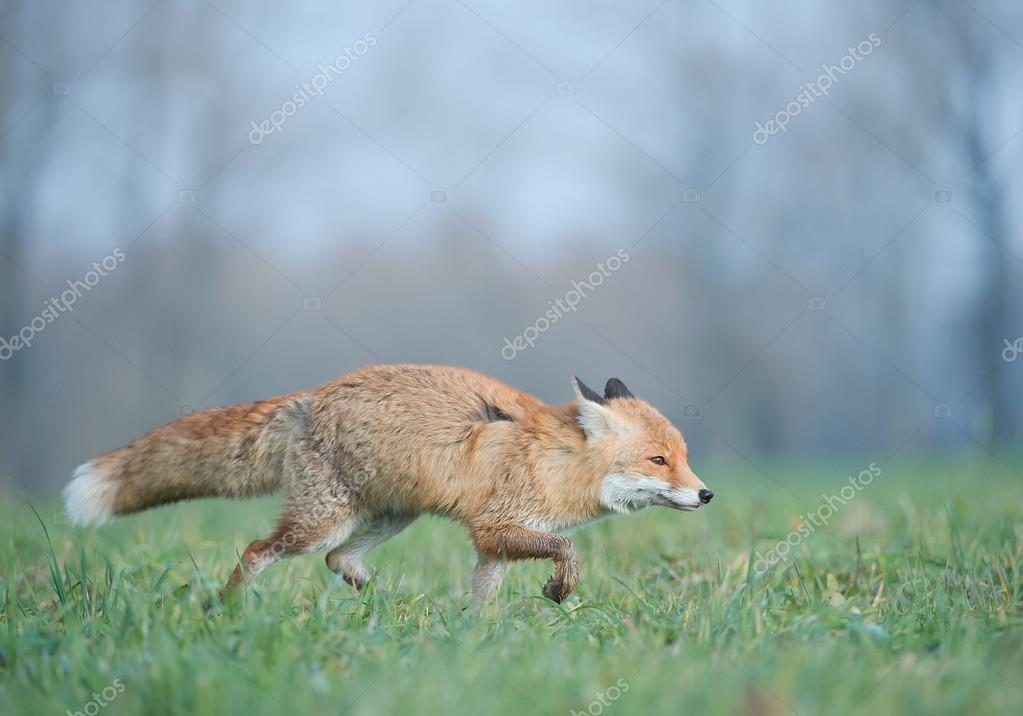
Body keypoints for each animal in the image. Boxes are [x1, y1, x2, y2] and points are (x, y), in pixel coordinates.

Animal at [64, 364, 713, 609]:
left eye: (683, 459)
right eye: (659, 460)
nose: (707, 496)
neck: (554, 461)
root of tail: (315, 393)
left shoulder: (491, 544)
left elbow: (483, 601)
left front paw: (474, 641)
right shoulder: (497, 526)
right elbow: (568, 550)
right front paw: (559, 588)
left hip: (391, 517)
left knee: (336, 559)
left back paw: (366, 593)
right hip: (318, 521)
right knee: (257, 551)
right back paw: (227, 611)